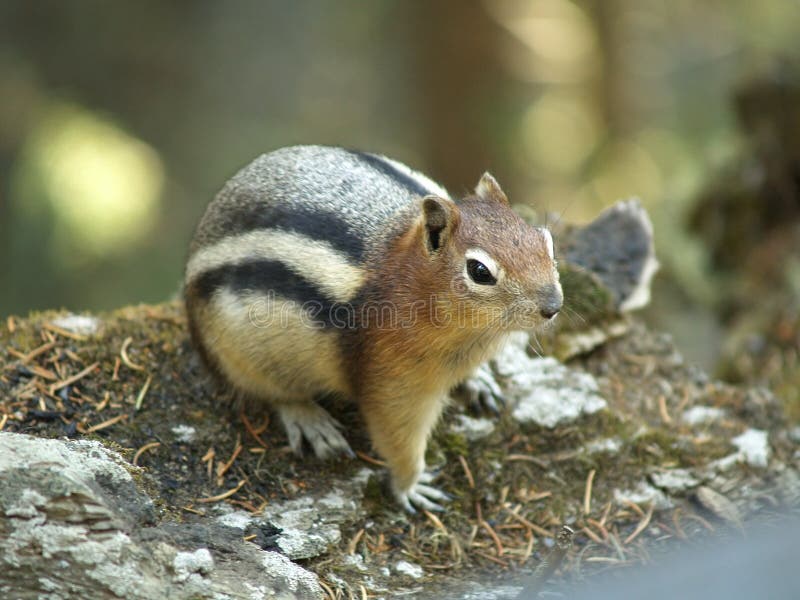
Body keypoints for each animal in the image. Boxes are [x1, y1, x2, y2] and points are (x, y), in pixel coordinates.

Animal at [184, 145, 563, 512]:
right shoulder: (393, 380)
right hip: (240, 354)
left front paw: (478, 379)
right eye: (480, 271)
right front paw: (412, 487)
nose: (554, 305)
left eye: (545, 241)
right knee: (271, 393)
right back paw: (310, 422)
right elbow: (397, 437)